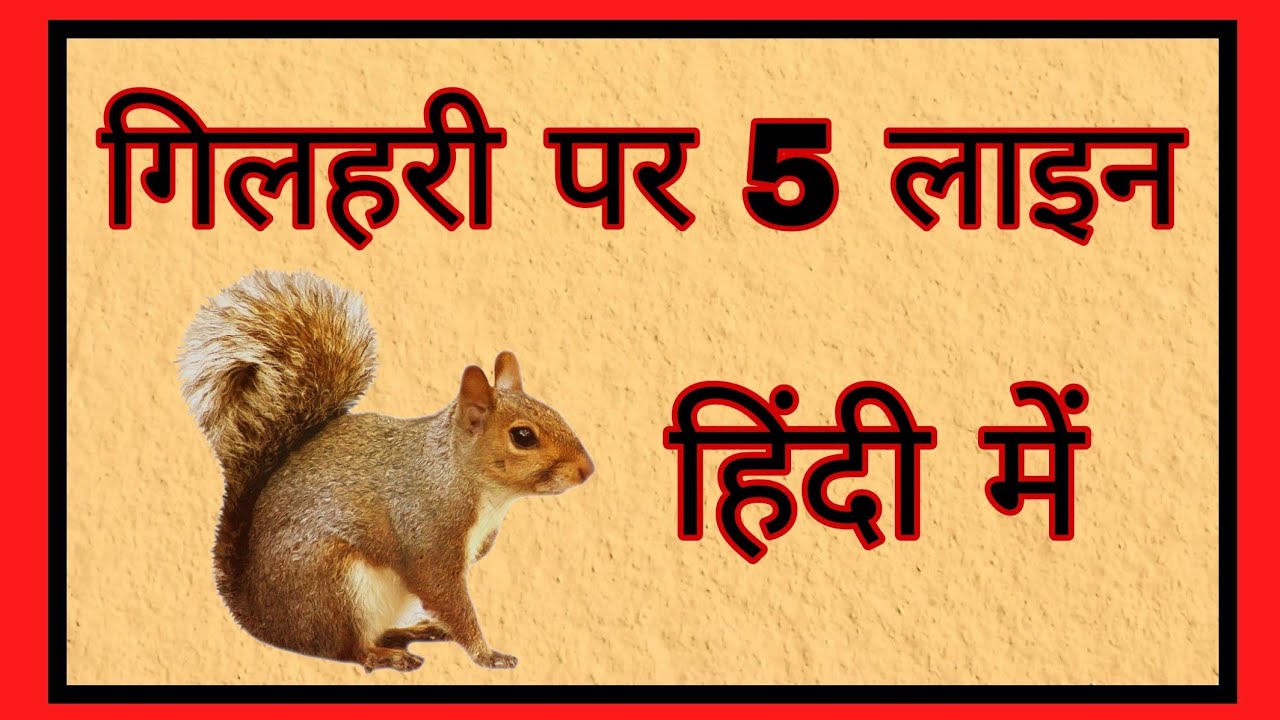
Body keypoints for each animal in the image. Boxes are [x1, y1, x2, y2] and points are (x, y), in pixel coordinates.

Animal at [177, 270, 595, 673]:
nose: (587, 470)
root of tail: (263, 617)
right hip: (334, 586)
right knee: (345, 648)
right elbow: (447, 596)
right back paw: (385, 655)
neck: (468, 480)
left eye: (555, 412)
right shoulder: (428, 534)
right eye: (523, 436)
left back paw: (410, 632)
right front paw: (486, 654)